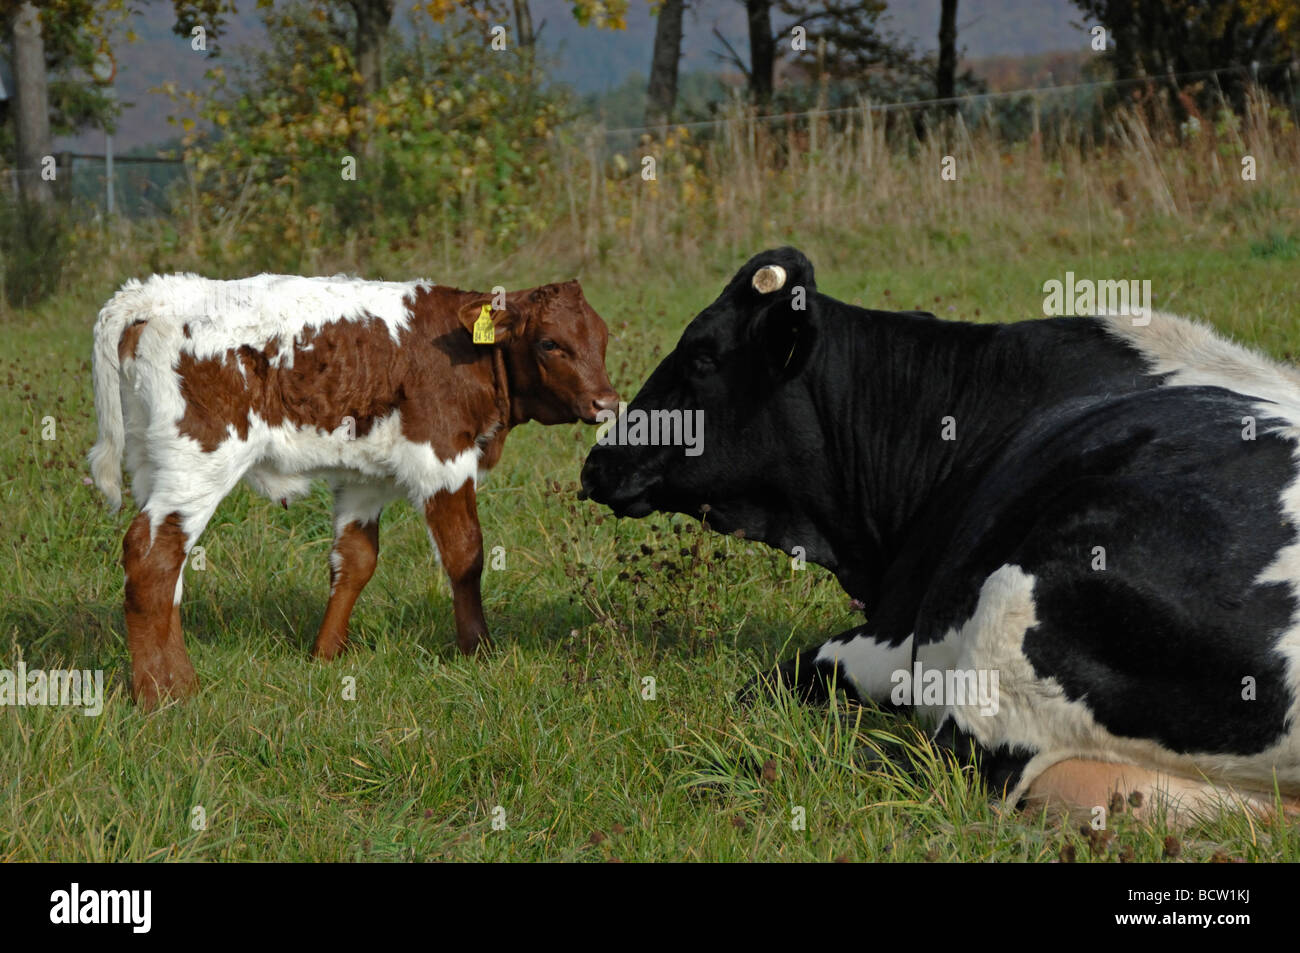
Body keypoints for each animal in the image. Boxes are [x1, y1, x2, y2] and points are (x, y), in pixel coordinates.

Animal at [90, 273, 618, 708]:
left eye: (603, 338)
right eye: (550, 343)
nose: (606, 401)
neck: (466, 353)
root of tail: (157, 293)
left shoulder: (364, 480)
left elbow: (355, 561)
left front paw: (325, 655)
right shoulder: (443, 457)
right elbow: (465, 554)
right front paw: (478, 650)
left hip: (153, 465)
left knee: (168, 574)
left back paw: (169, 679)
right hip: (198, 463)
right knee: (151, 558)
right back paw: (164, 692)